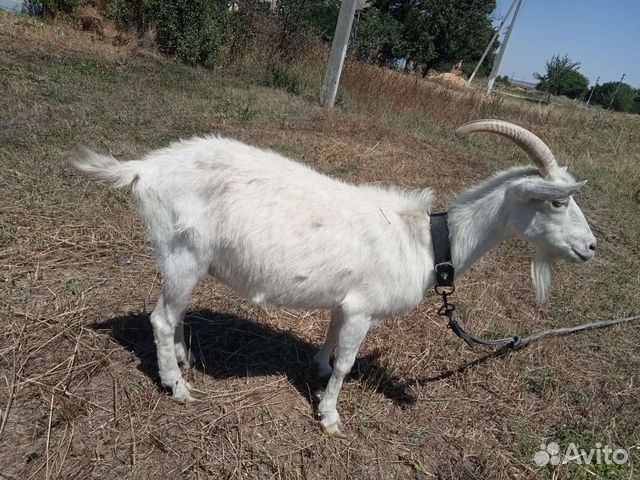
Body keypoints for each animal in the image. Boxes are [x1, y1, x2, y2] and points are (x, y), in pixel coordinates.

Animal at [74, 119, 596, 437]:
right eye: (556, 201)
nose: (591, 248)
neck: (426, 242)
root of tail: (143, 168)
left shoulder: (346, 302)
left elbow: (329, 336)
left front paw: (318, 369)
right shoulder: (364, 308)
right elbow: (348, 363)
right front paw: (329, 416)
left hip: (188, 262)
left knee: (176, 313)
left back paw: (185, 358)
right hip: (182, 250)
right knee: (161, 318)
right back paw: (177, 386)